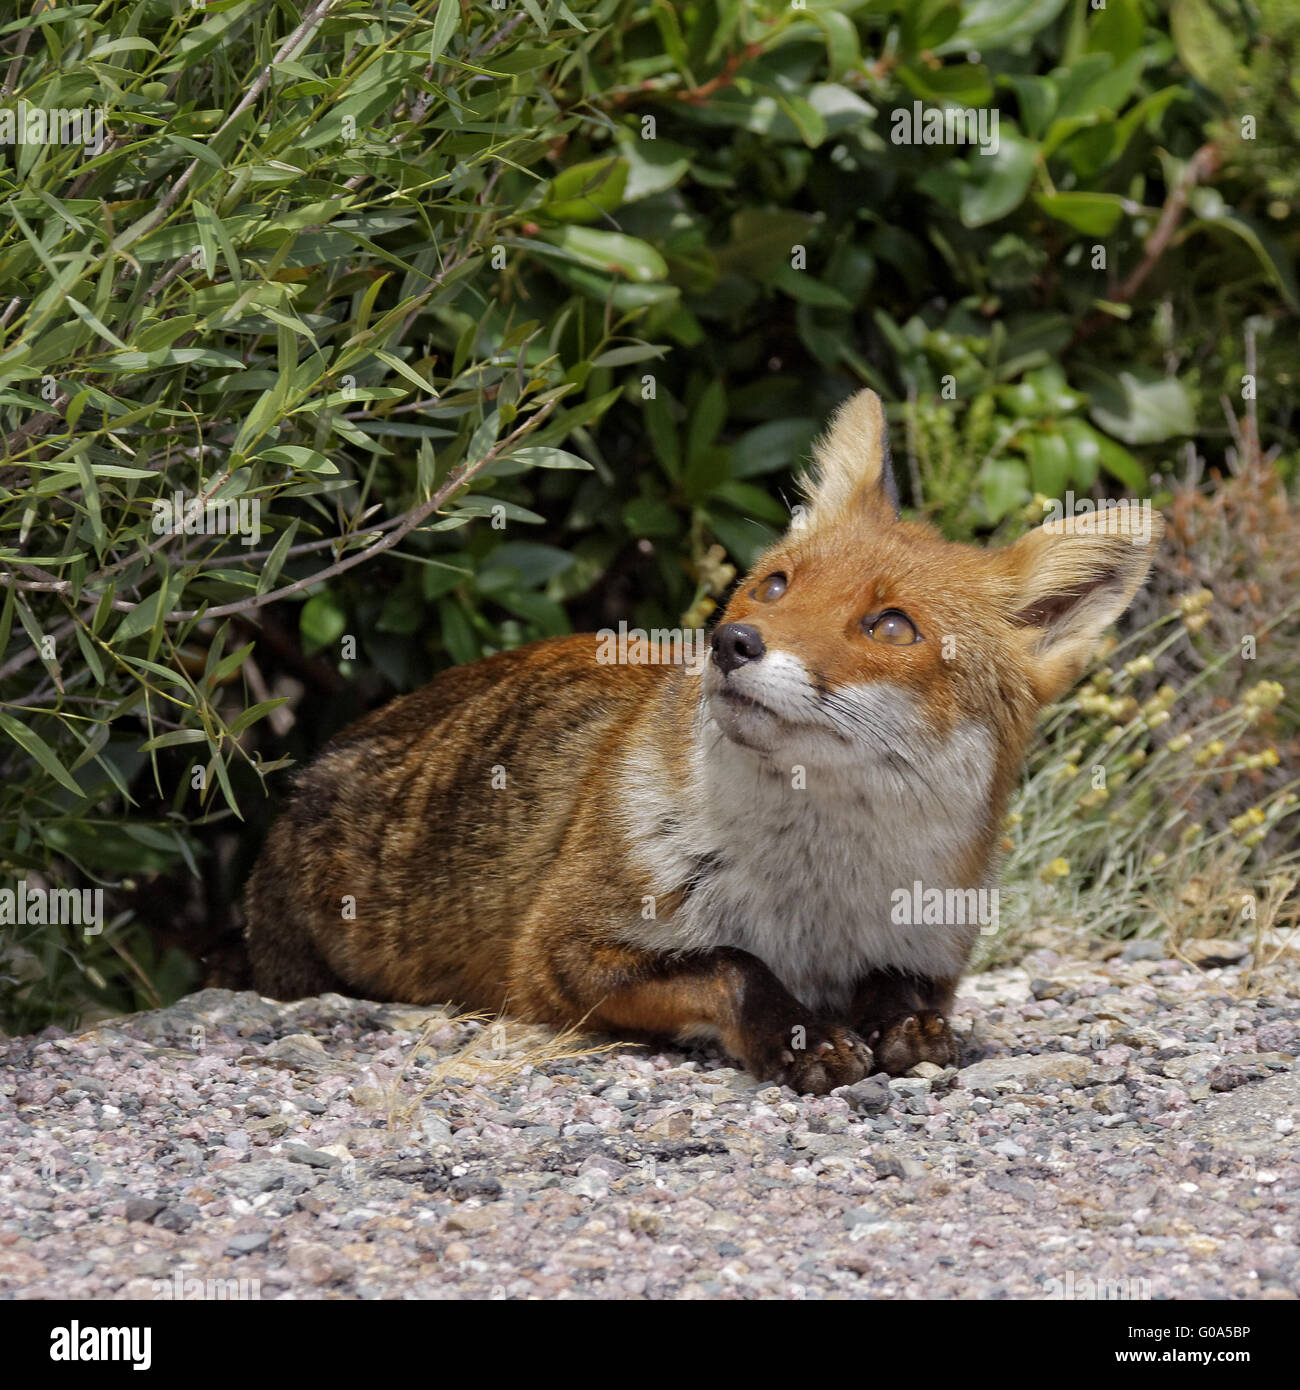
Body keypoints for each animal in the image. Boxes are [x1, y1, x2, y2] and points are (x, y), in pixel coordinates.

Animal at [245, 389, 1162, 1094]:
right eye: (776, 586)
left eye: (891, 626)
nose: (734, 643)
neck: (816, 902)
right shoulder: (555, 955)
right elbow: (732, 964)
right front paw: (802, 1037)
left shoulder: (931, 953)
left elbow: (905, 996)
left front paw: (908, 1031)